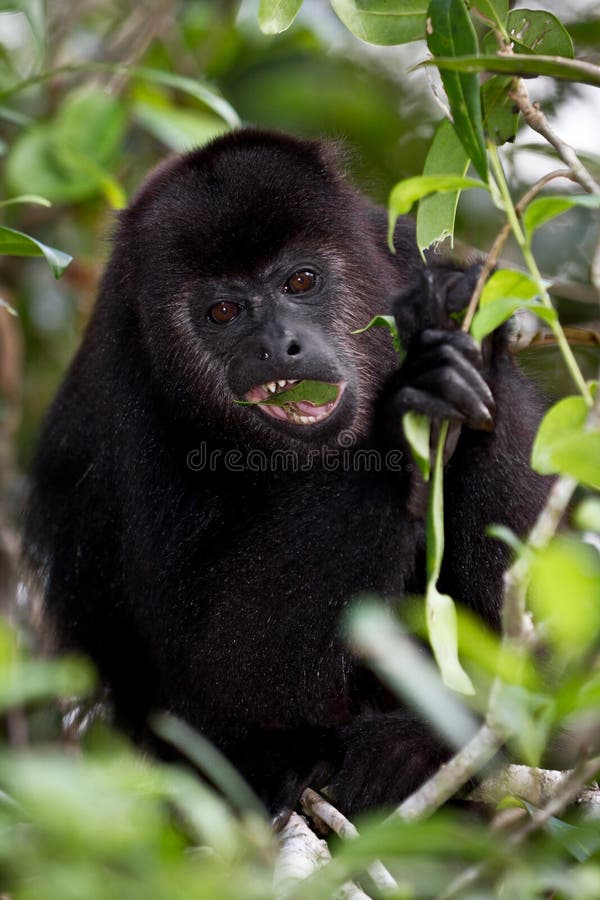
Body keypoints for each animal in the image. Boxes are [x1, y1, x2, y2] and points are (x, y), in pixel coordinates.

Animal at [24, 128, 549, 818]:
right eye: (223, 312)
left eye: (301, 280)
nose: (278, 345)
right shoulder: (123, 402)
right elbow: (216, 667)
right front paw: (403, 413)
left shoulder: (404, 255)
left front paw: (468, 337)